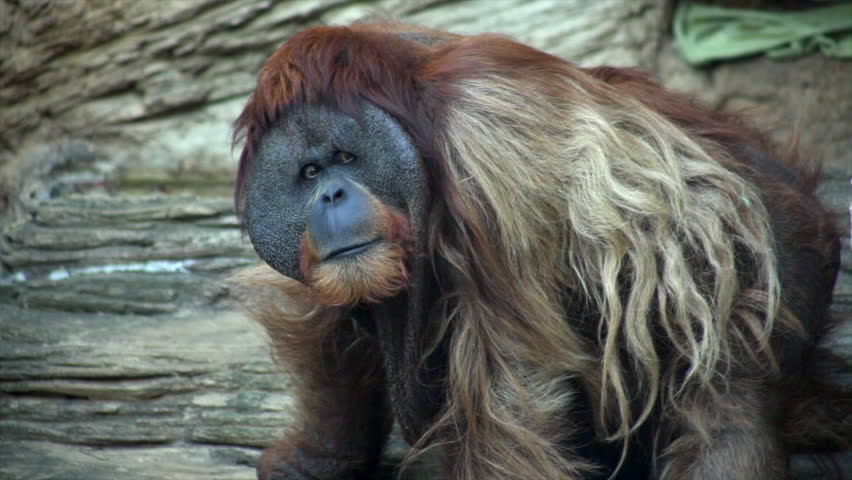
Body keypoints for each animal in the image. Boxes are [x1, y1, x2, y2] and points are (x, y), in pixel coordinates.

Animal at [230, 21, 843, 480]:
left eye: (347, 159)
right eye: (310, 173)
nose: (331, 194)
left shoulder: (486, 160)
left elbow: (513, 395)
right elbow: (317, 316)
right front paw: (318, 460)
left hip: (774, 255)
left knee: (729, 405)